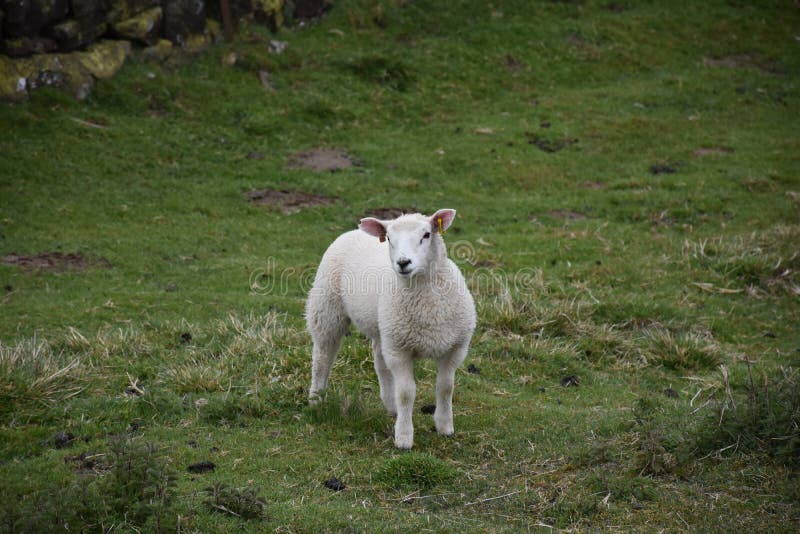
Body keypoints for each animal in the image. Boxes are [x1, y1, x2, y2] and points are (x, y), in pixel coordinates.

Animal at [306, 208, 476, 449]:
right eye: (388, 238)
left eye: (426, 234)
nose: (403, 262)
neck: (427, 302)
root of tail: (353, 230)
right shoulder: (399, 350)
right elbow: (406, 393)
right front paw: (404, 437)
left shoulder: (455, 348)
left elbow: (445, 387)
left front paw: (445, 427)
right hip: (327, 310)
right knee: (322, 359)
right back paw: (316, 399)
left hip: (383, 328)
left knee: (380, 363)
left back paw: (390, 405)